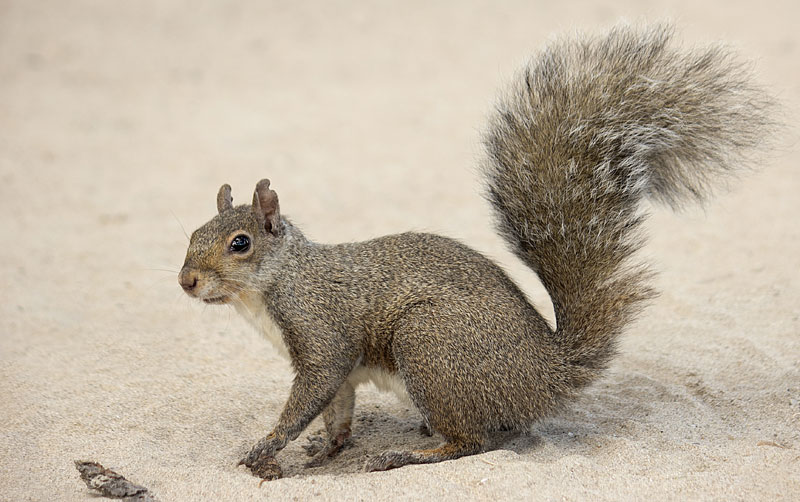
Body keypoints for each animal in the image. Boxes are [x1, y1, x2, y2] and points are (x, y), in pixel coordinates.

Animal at [178, 23, 774, 479]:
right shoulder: (338, 370)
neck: (276, 283)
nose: (186, 281)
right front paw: (325, 450)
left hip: (429, 347)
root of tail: (548, 373)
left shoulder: (321, 333)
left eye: (239, 243)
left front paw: (268, 445)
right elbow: (337, 412)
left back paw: (408, 453)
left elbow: (311, 395)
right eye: (191, 233)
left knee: (471, 442)